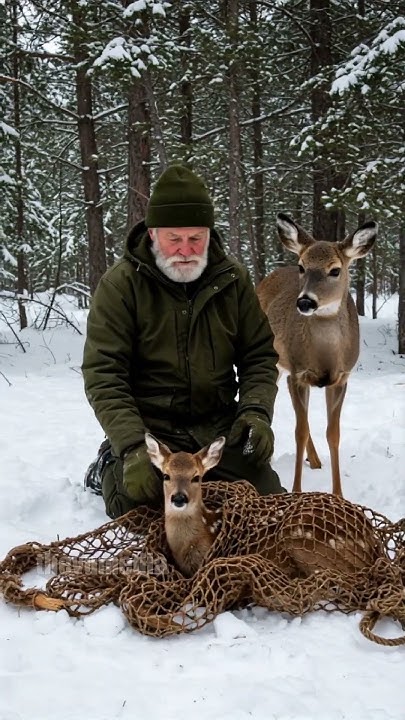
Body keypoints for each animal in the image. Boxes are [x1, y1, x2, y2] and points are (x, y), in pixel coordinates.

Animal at [257, 213, 378, 498]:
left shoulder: (342, 378)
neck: (325, 357)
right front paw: (297, 492)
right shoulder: (298, 374)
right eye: (302, 266)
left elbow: (333, 433)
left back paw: (314, 459)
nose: (305, 301)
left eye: (335, 270)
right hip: (277, 362)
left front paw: (339, 495)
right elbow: (299, 431)